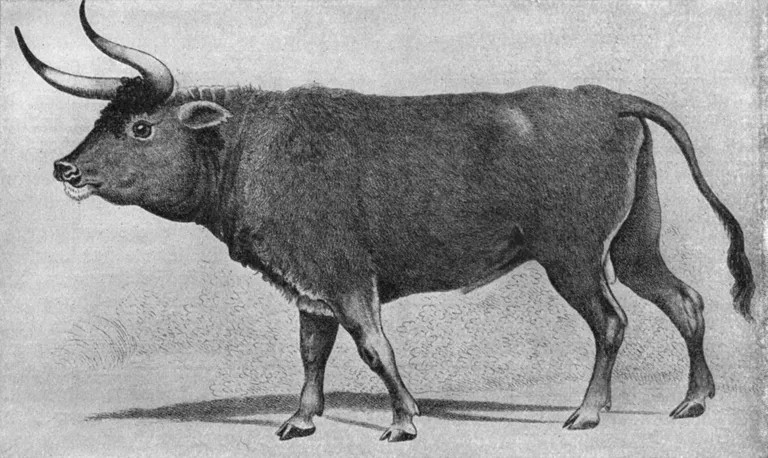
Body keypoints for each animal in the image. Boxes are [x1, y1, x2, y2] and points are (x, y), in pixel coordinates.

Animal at [16, 1, 754, 442]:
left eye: (140, 127)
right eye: (103, 119)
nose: (65, 168)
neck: (244, 144)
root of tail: (608, 98)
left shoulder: (347, 278)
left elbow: (373, 346)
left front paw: (403, 420)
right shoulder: (307, 286)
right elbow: (312, 350)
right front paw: (300, 420)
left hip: (572, 258)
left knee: (612, 321)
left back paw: (588, 412)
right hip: (632, 245)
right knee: (683, 299)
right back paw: (694, 401)